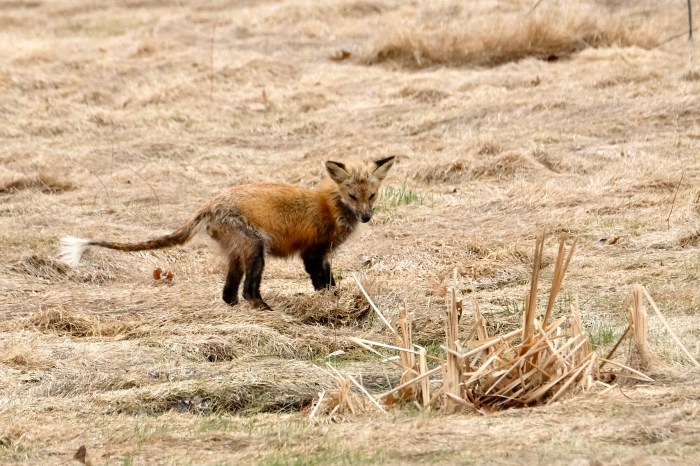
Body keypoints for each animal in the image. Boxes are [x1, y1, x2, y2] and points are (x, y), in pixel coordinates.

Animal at [59, 156, 396, 310]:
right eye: (353, 196)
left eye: (372, 196)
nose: (366, 217)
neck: (330, 205)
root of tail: (209, 205)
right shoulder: (313, 253)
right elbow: (323, 284)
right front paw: (331, 305)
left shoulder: (323, 254)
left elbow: (330, 282)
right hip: (256, 250)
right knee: (247, 291)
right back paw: (266, 310)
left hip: (238, 254)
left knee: (228, 293)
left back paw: (235, 308)